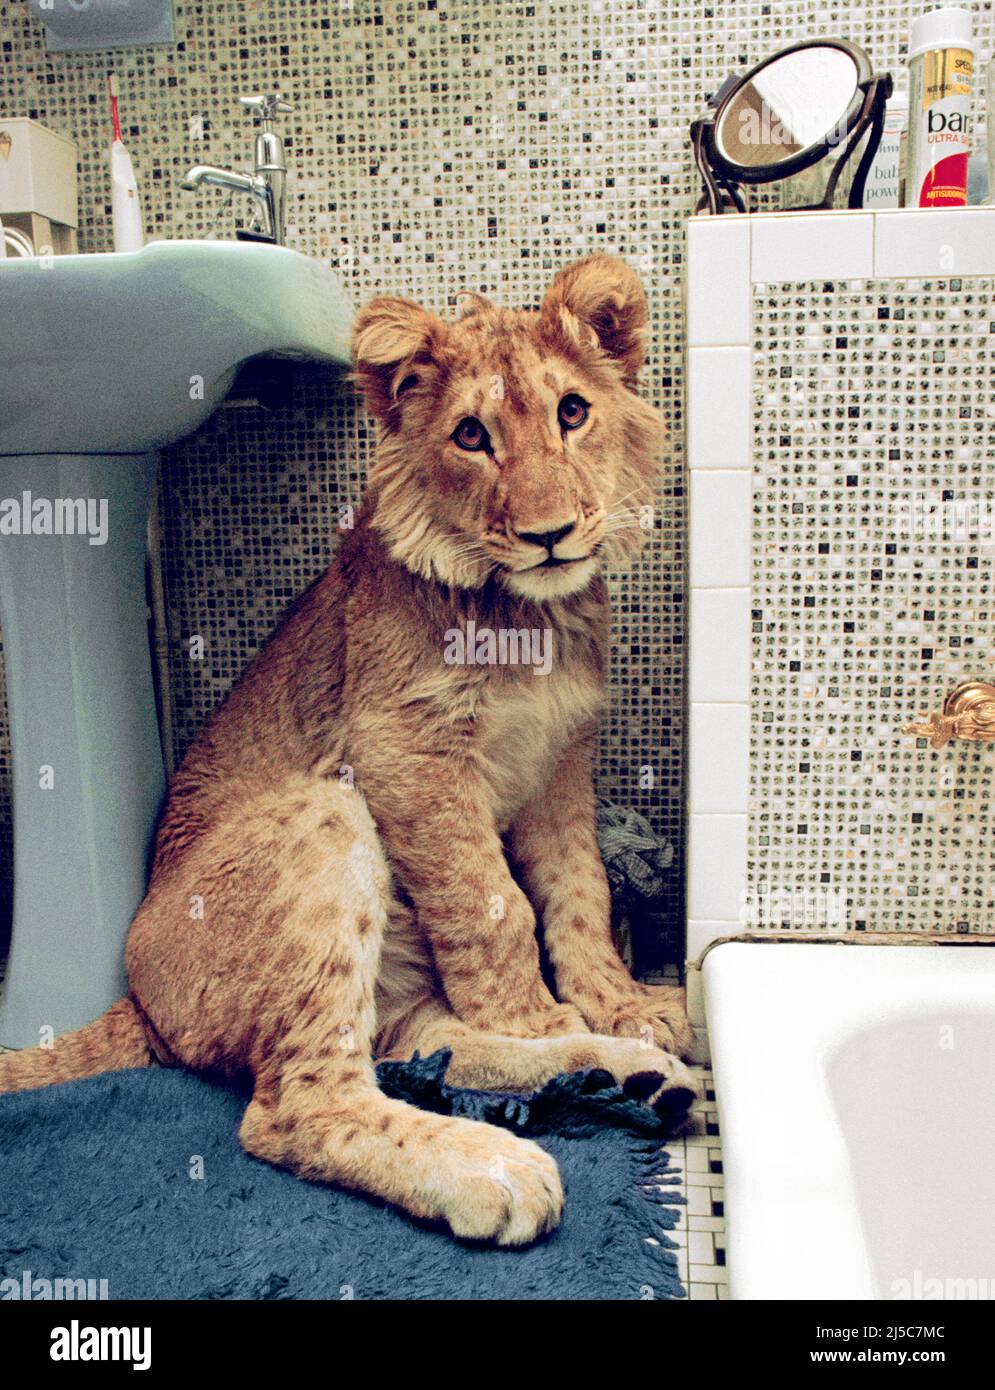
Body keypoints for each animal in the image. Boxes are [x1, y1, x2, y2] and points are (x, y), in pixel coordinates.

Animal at [0, 256, 695, 1246]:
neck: (529, 618)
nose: (549, 535)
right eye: (471, 436)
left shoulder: (562, 758)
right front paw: (532, 1017)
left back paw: (627, 1072)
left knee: (412, 1043)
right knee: (298, 1102)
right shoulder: (406, 751)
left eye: (572, 412)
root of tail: (137, 995)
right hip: (322, 810)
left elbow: (577, 896)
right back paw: (495, 1162)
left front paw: (623, 1005)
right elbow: (491, 907)